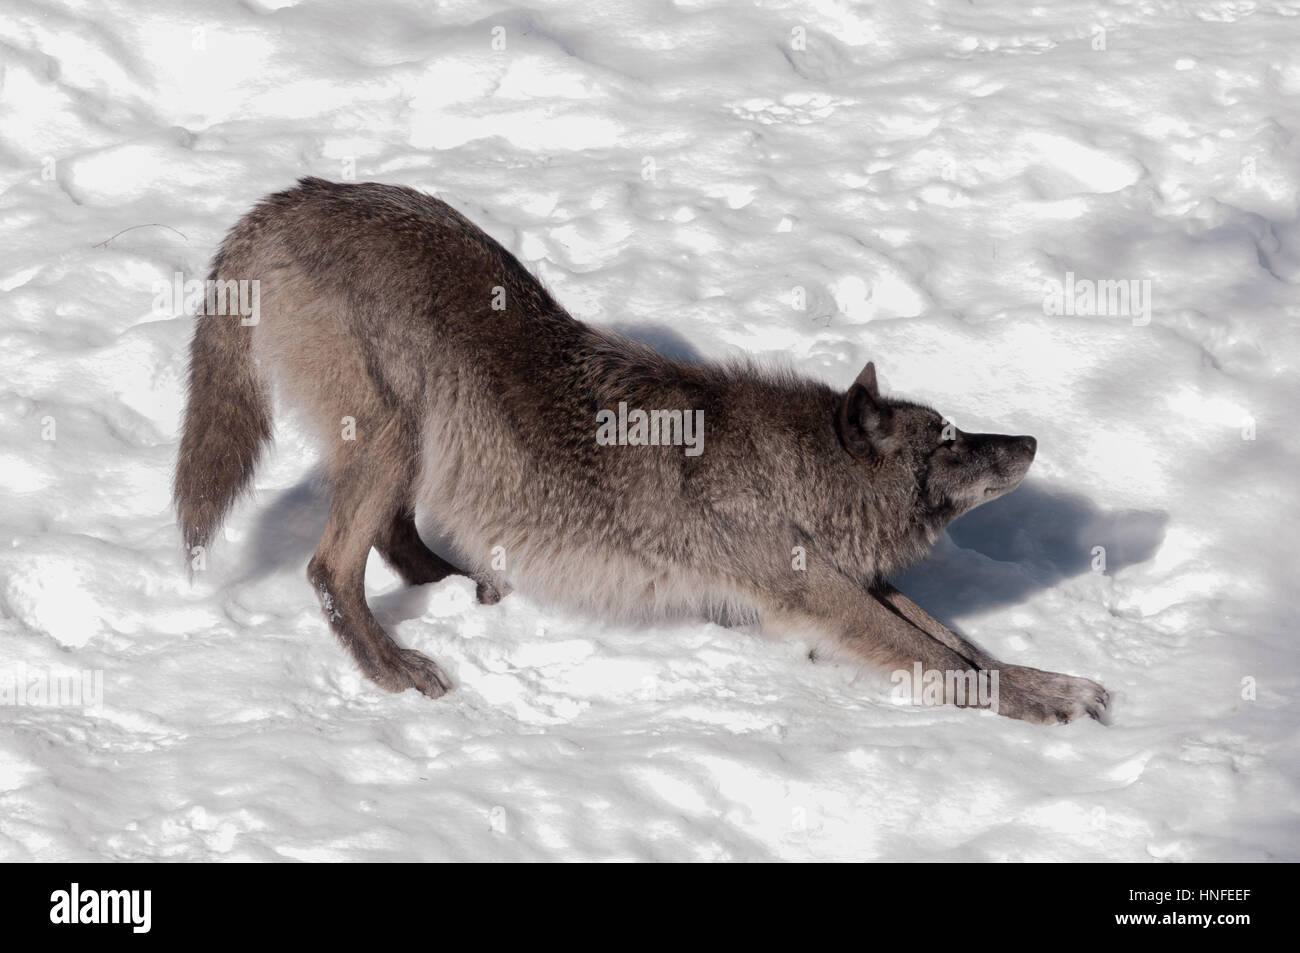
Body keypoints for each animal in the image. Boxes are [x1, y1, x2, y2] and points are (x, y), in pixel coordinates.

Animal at [174, 177, 1109, 725]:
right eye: (949, 439)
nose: (1030, 439)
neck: (789, 478)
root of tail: (292, 198)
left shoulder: (855, 580)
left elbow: (966, 644)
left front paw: (1052, 685)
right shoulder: (817, 595)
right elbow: (943, 658)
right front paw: (1029, 708)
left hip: (423, 439)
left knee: (395, 542)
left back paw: (463, 587)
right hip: (399, 433)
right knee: (329, 567)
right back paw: (397, 667)